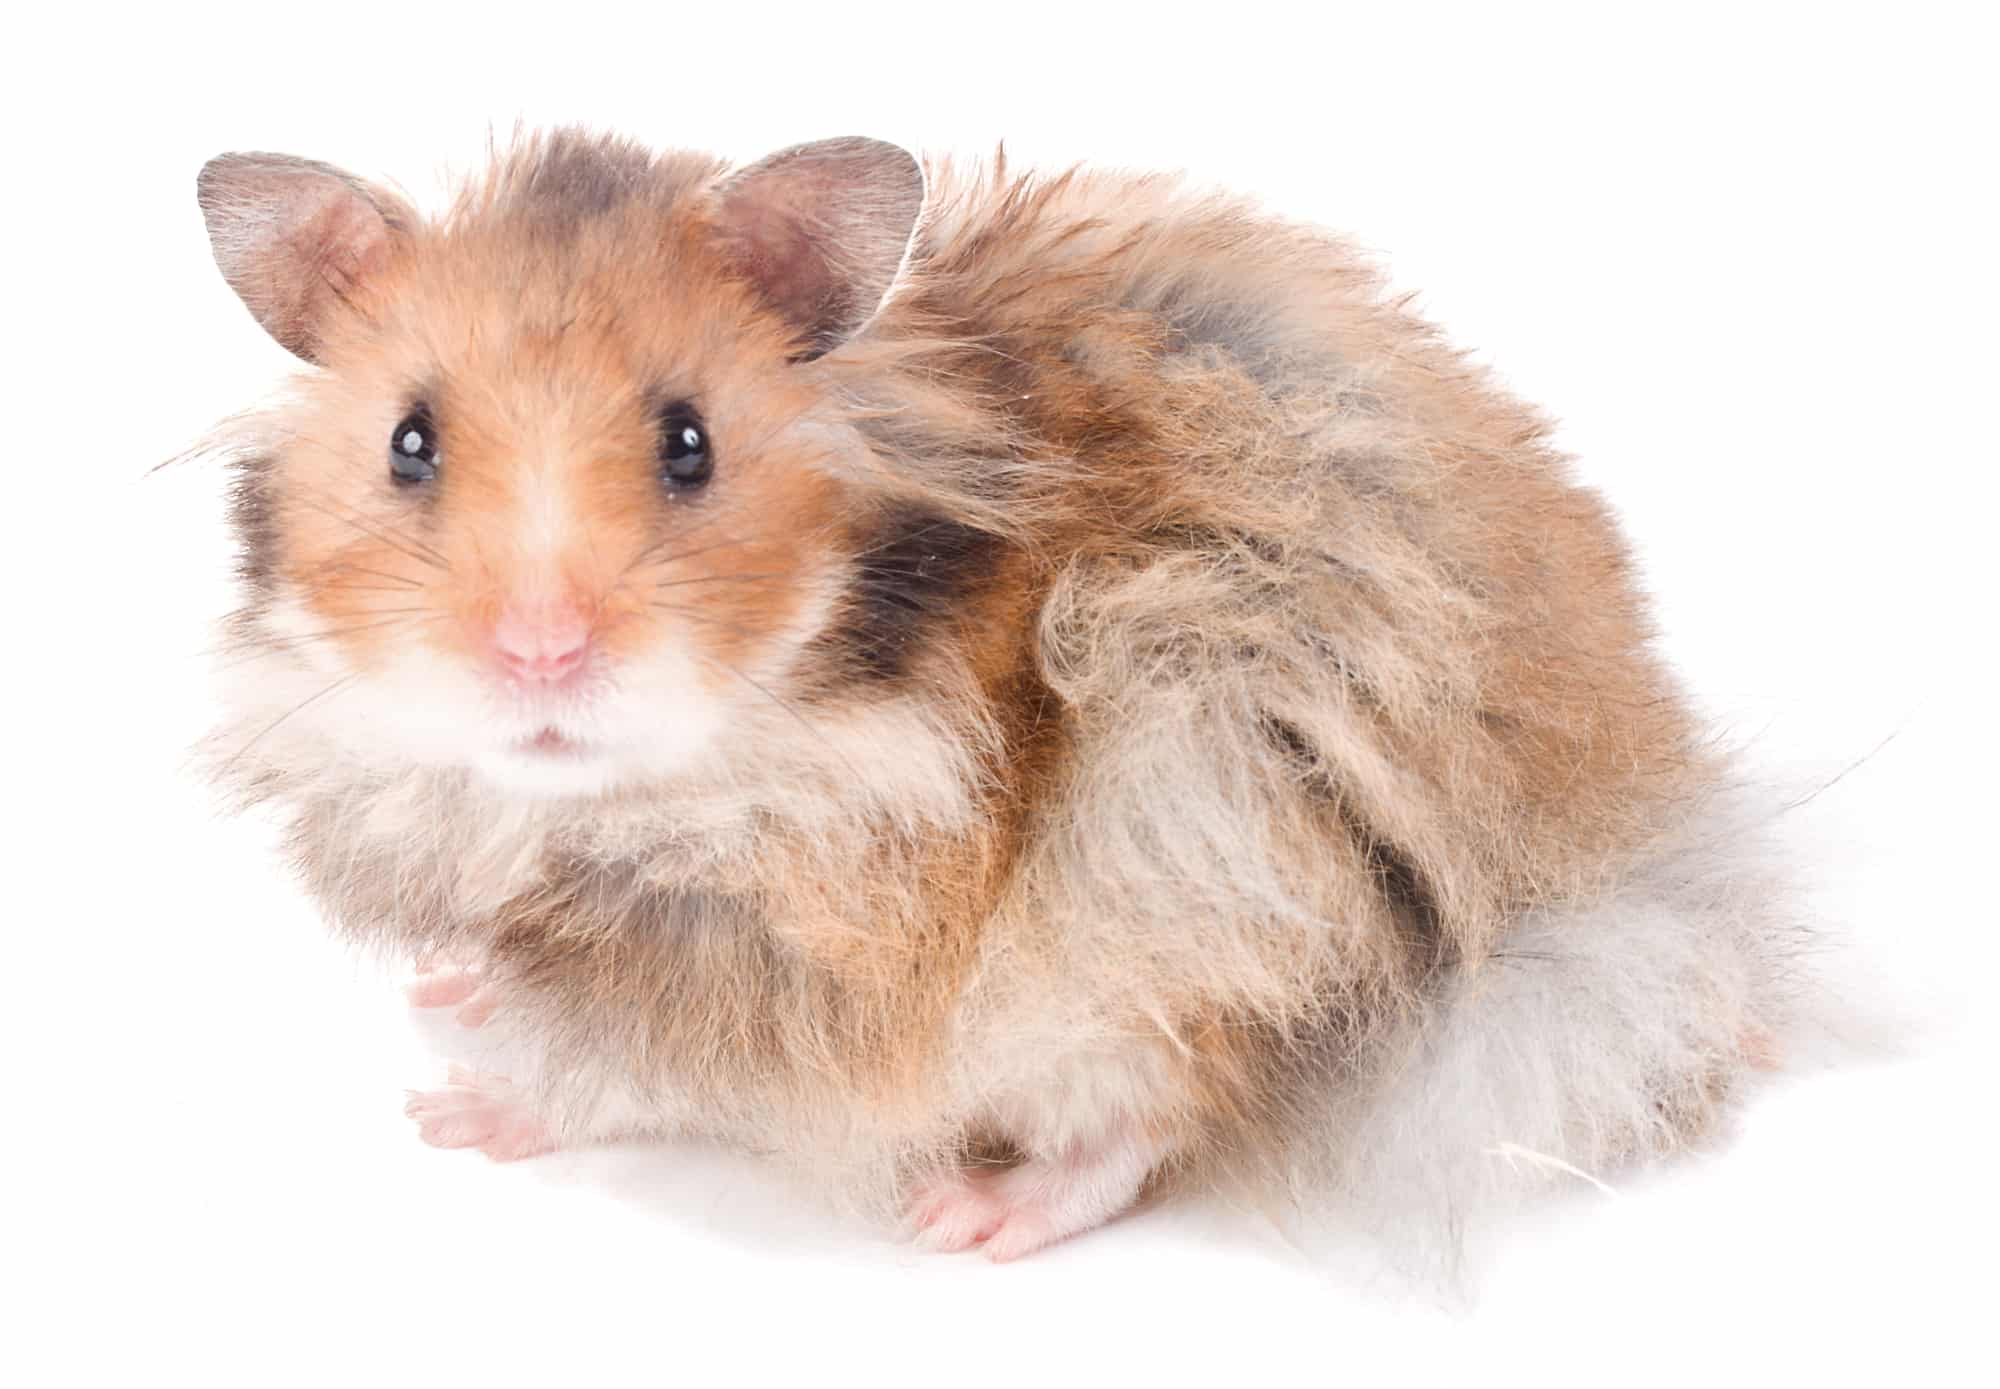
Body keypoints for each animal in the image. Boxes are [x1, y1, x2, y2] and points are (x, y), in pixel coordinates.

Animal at [188, 128, 1807, 1265]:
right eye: (408, 442)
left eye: (689, 442)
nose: (537, 654)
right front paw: (446, 988)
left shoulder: (794, 969)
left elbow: (613, 1062)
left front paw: (450, 1112)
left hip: (1204, 847)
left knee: (1162, 1111)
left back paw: (975, 1221)